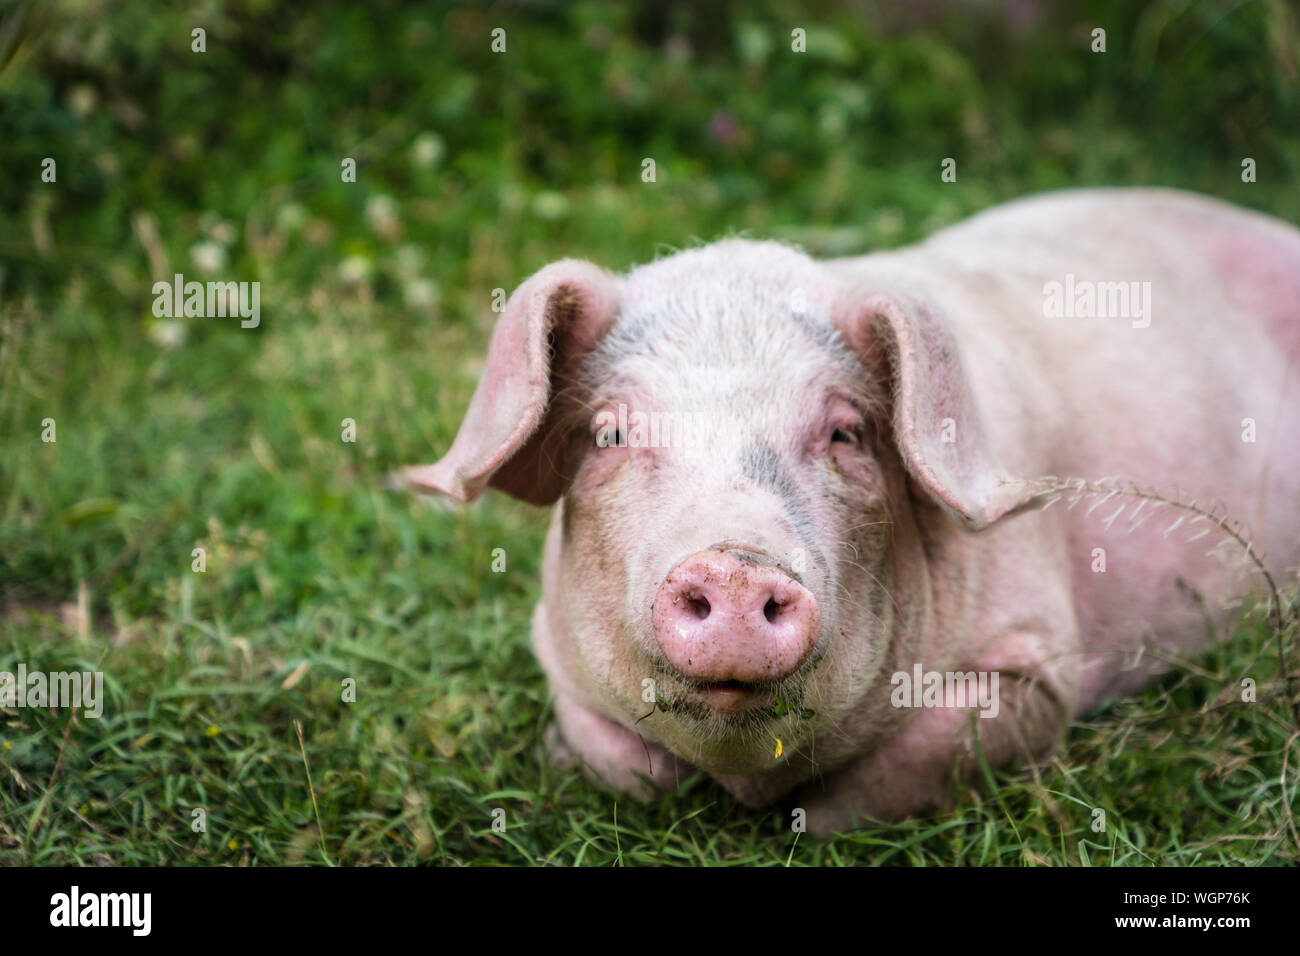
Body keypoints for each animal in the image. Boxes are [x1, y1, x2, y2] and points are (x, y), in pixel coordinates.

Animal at [405, 188, 1300, 835]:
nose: (736, 566)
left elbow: (880, 783)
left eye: (845, 433)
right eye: (609, 433)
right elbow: (633, 768)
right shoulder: (553, 652)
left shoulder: (1037, 663)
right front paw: (562, 757)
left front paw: (805, 821)